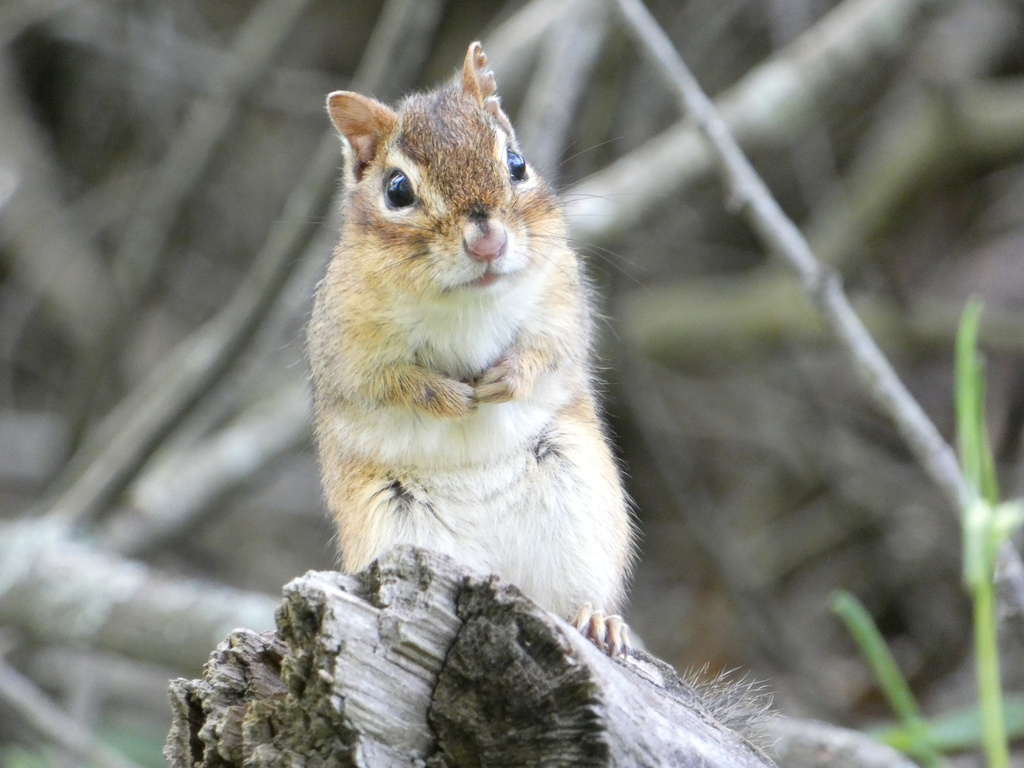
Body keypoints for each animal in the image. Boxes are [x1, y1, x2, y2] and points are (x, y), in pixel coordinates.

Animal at [307, 42, 635, 656]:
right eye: (397, 190)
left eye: (517, 163)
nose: (488, 242)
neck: (467, 303)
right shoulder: (348, 351)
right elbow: (388, 383)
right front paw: (449, 396)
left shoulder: (561, 303)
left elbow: (551, 350)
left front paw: (508, 378)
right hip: (394, 524)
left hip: (580, 498)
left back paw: (597, 619)